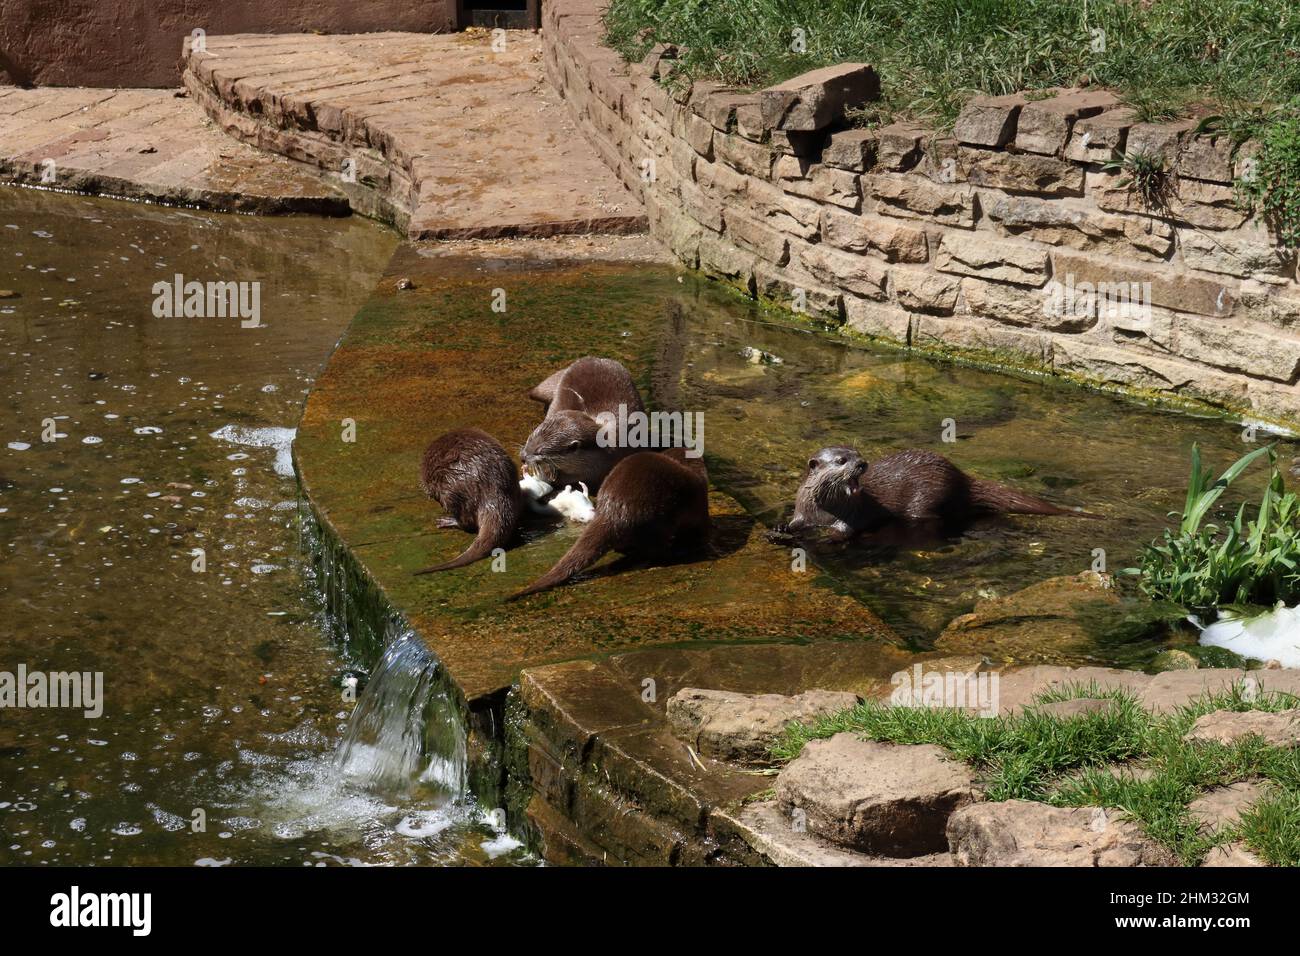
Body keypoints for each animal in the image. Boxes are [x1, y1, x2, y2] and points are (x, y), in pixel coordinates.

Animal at [780, 446, 1093, 540]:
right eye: (841, 460)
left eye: (858, 453)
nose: (862, 464)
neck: (824, 510)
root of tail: (960, 477)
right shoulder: (803, 509)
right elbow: (795, 522)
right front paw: (780, 530)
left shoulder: (852, 514)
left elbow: (844, 531)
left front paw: (829, 537)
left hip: (927, 496)